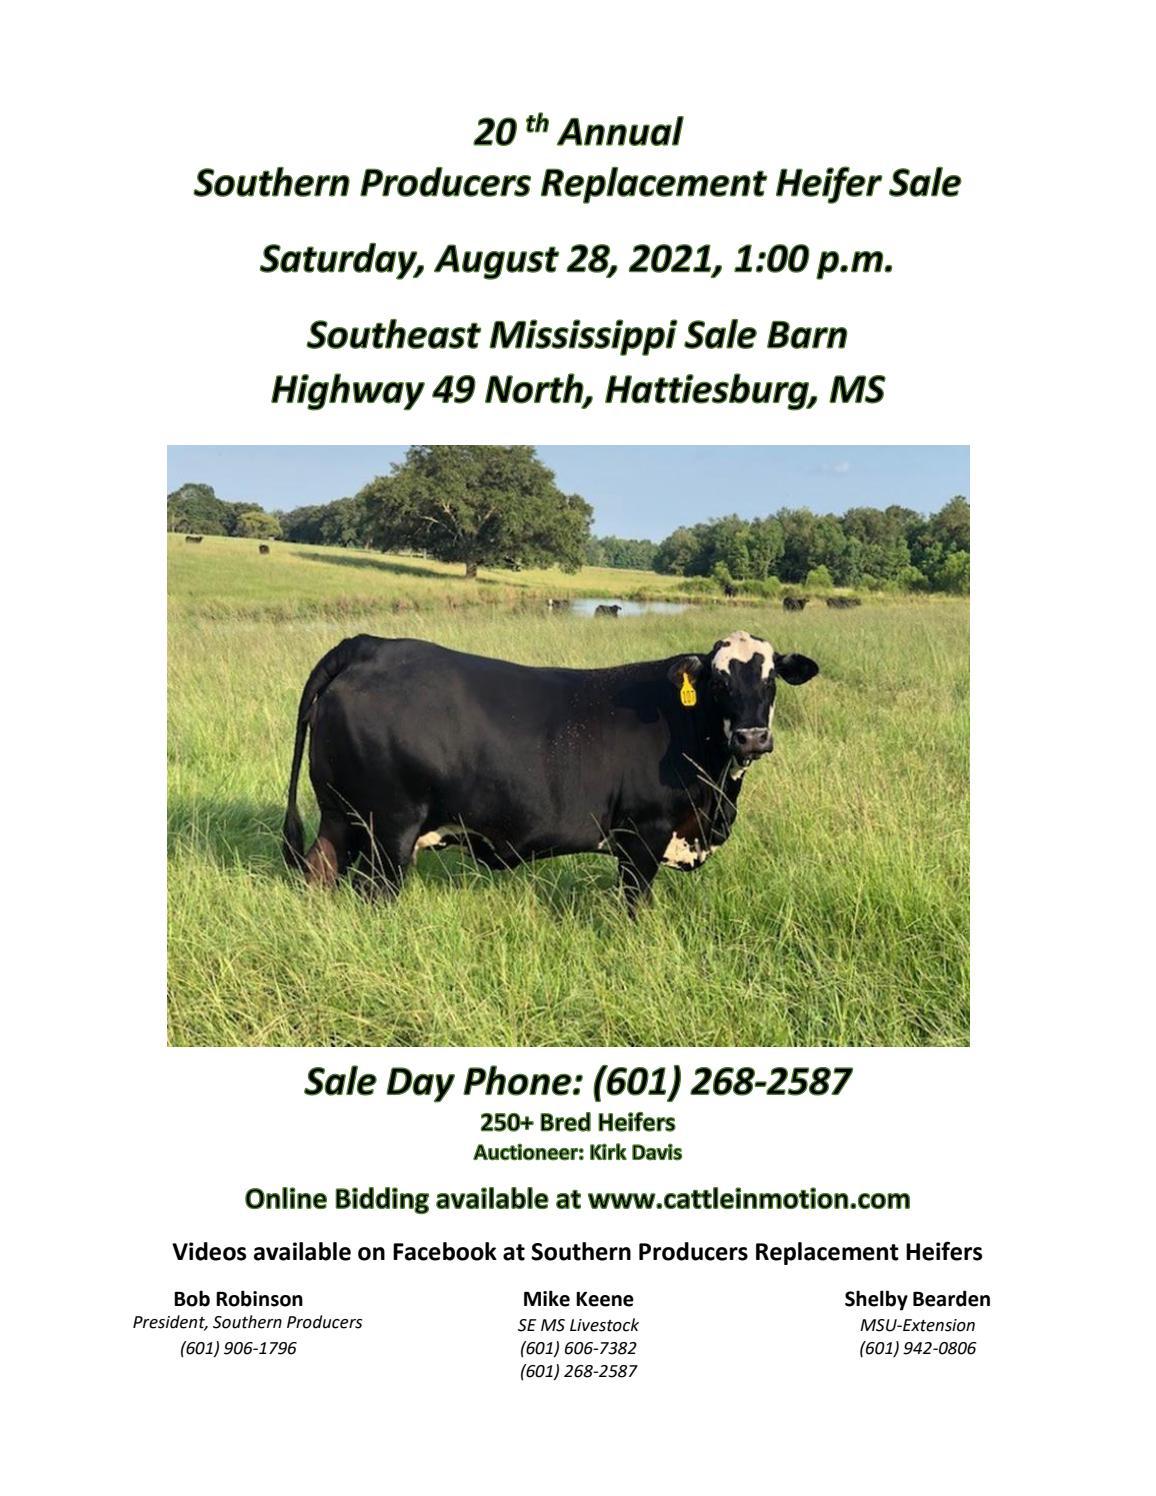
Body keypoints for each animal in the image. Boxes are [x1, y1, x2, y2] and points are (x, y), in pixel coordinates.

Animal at [282, 630, 819, 911]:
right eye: (719, 681)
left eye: (771, 679)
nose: (751, 737)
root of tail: (370, 645)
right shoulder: (643, 833)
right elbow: (634, 906)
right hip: (390, 827)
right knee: (373, 890)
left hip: (339, 815)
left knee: (319, 870)